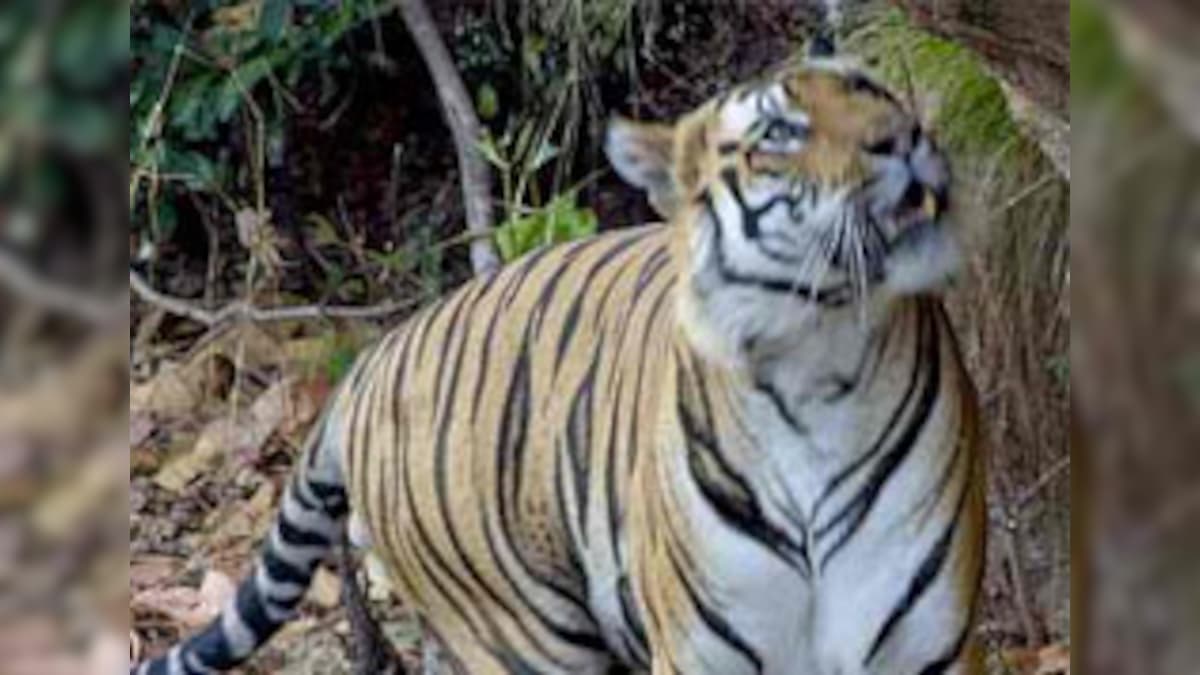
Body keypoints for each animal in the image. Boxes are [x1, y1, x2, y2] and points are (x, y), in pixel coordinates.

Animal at [132, 40, 985, 675]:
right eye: (780, 133)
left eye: (872, 88)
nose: (904, 139)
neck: (819, 363)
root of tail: (374, 356)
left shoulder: (929, 644)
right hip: (524, 632)